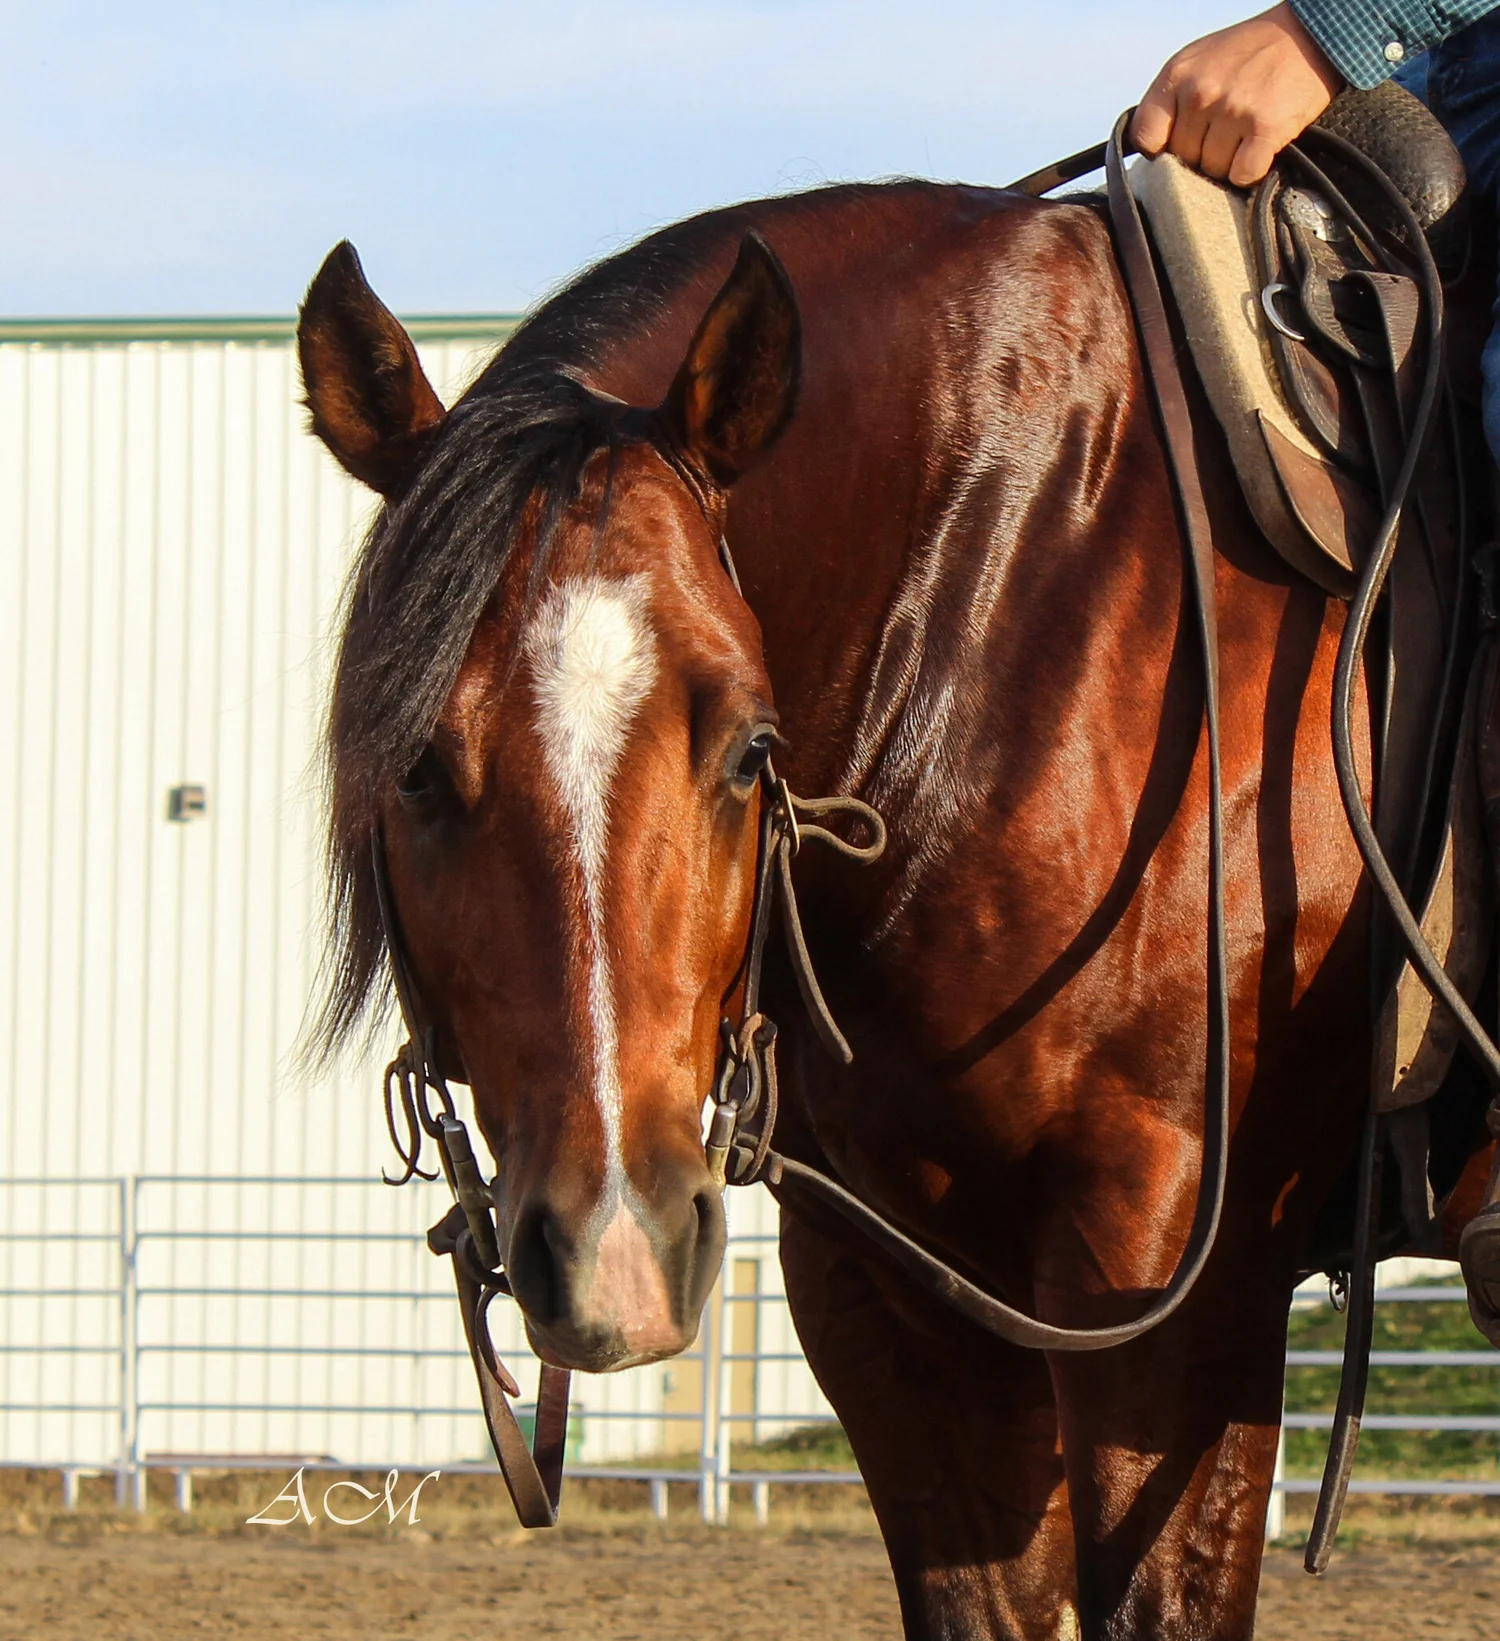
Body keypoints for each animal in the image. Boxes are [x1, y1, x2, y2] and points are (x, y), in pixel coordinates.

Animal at [297, 174, 1490, 1638]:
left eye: (751, 749)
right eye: (415, 769)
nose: (616, 1252)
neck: (1014, 596)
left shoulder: (1171, 1291)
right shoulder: (892, 1293)